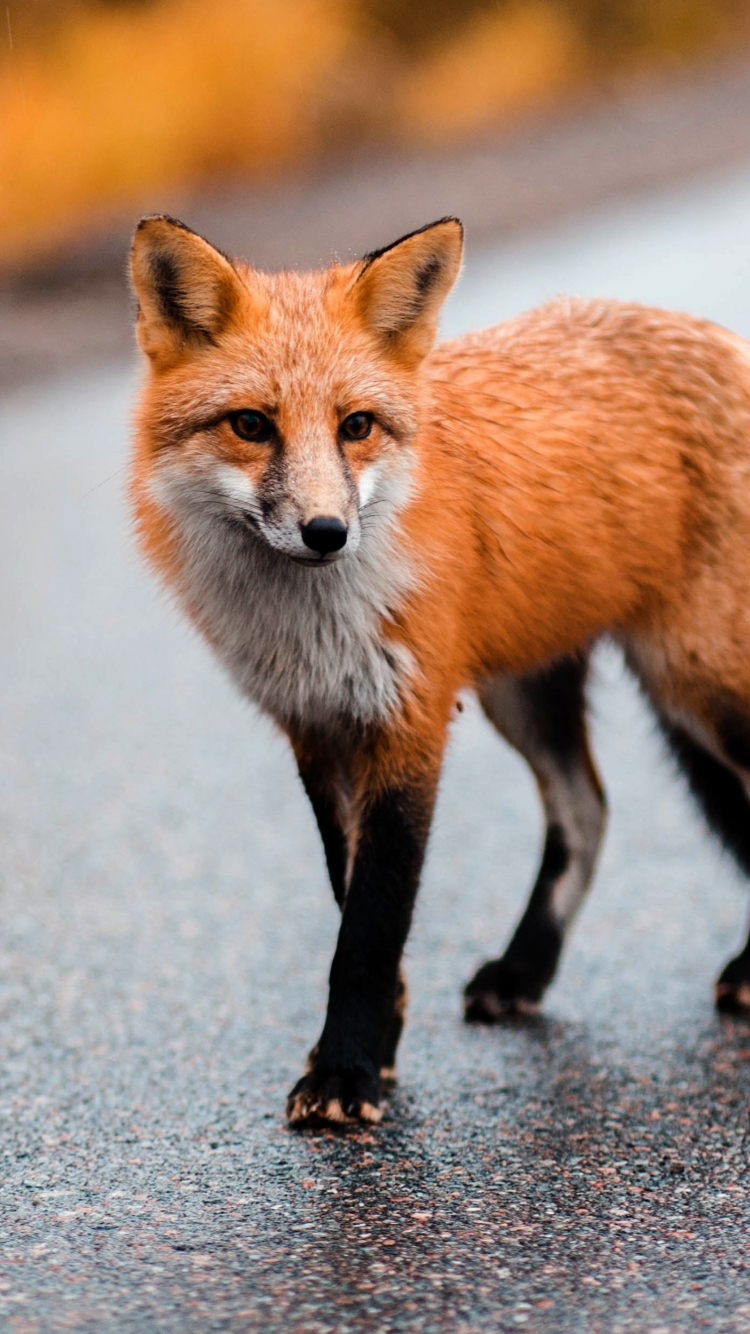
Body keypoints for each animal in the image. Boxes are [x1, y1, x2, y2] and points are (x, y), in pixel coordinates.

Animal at [129, 212, 750, 1128]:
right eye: (251, 425)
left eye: (356, 426)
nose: (326, 533)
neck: (314, 625)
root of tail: (719, 337)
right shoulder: (317, 728)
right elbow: (349, 901)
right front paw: (374, 1050)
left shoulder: (410, 720)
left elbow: (372, 924)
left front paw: (345, 1072)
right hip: (524, 693)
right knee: (588, 810)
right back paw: (526, 970)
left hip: (695, 681)